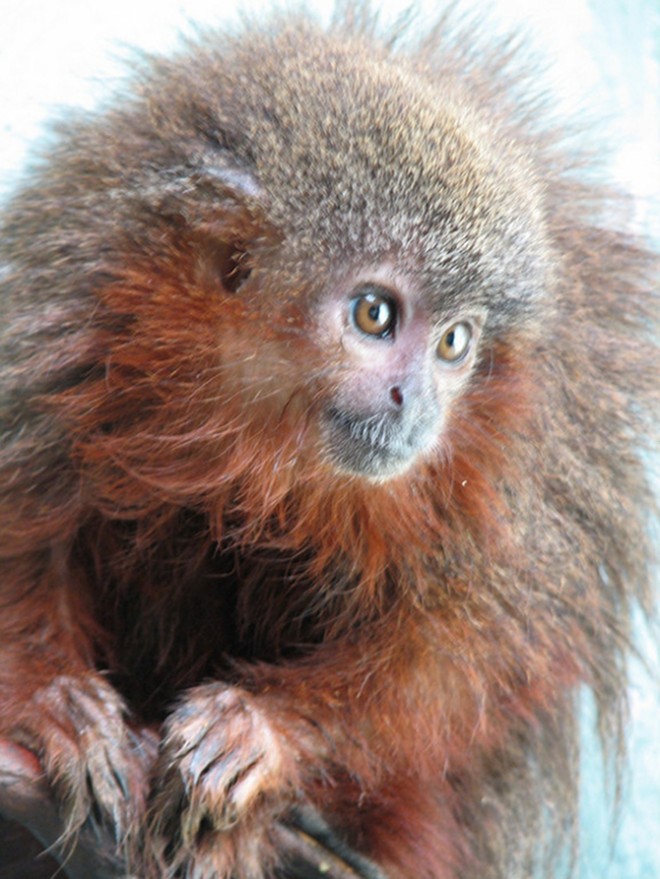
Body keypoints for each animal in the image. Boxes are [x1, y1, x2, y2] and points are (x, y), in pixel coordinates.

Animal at [0, 4, 657, 878]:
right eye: (375, 314)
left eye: (455, 343)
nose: (416, 403)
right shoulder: (65, 315)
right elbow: (25, 526)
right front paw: (55, 707)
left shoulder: (523, 461)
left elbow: (477, 646)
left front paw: (263, 739)